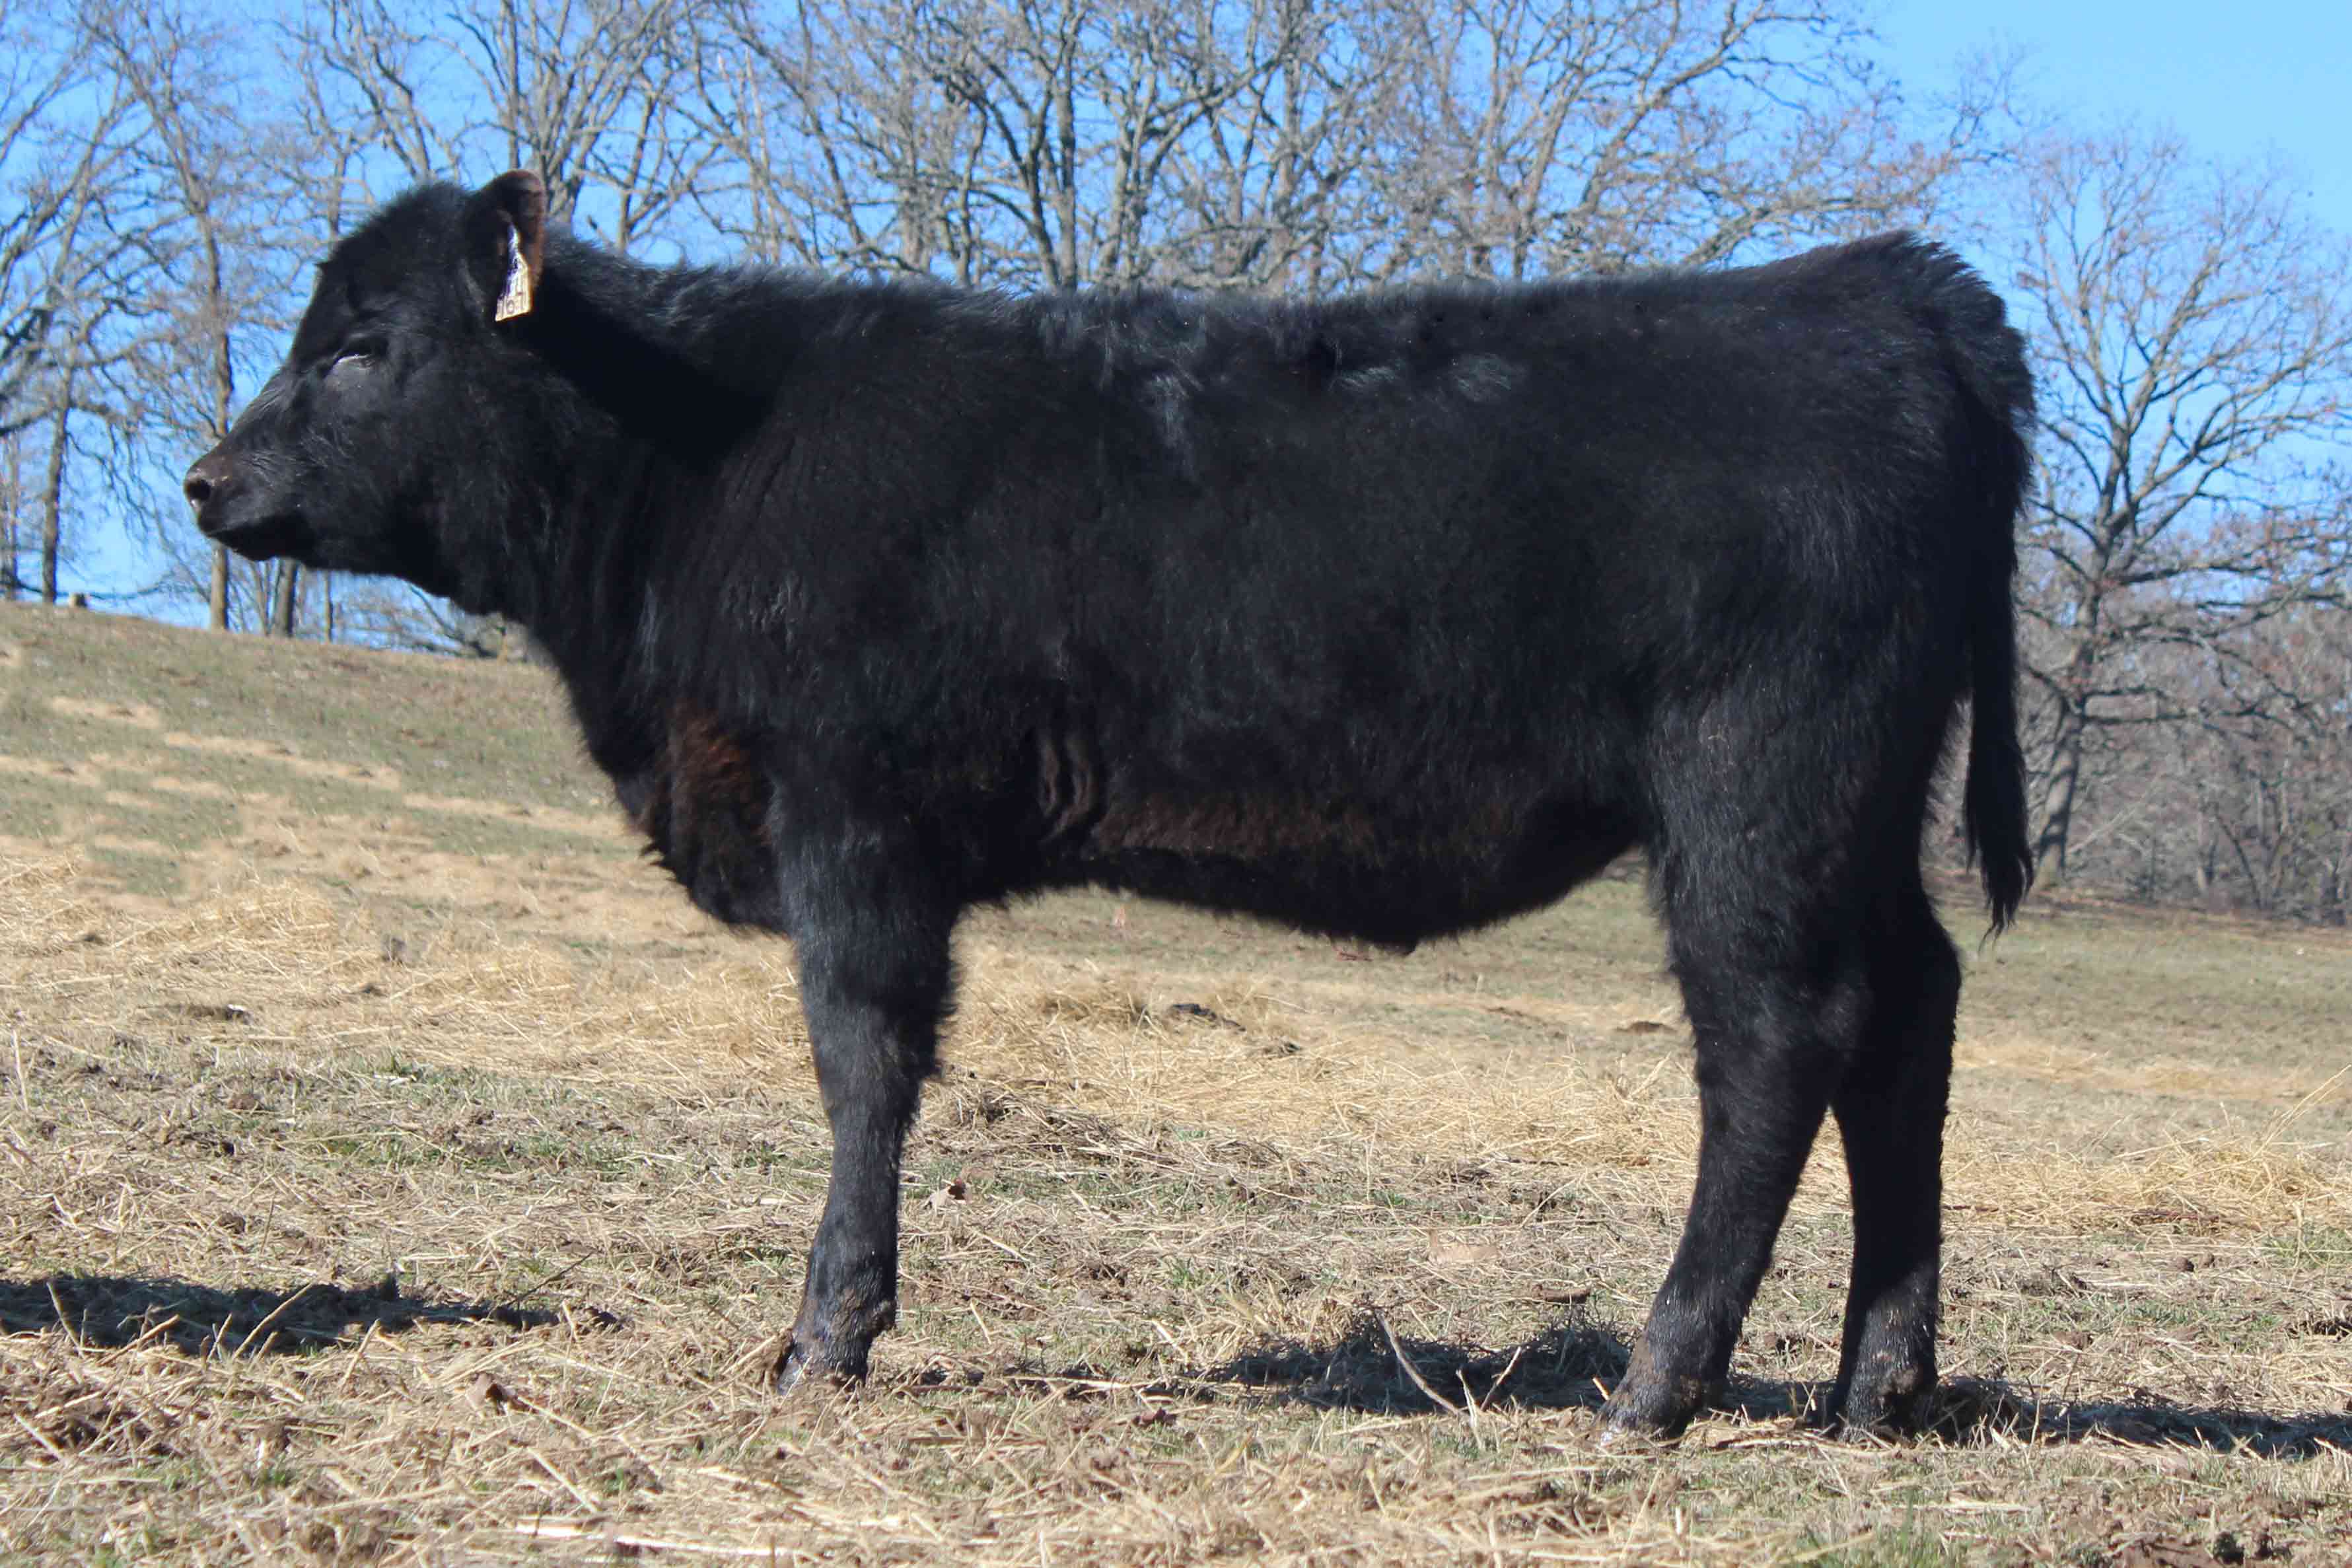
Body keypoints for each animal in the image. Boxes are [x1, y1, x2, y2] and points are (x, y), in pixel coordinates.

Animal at [183, 169, 2034, 1440]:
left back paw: (1656, 1381)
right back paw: (1877, 1383)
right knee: (1909, 1021)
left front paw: (827, 1333)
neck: (693, 467)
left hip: (1755, 800)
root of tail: (1883, 287)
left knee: (1776, 1045)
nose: (204, 481)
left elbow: (862, 1063)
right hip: (1859, 817)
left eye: (360, 348)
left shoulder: (852, 817)